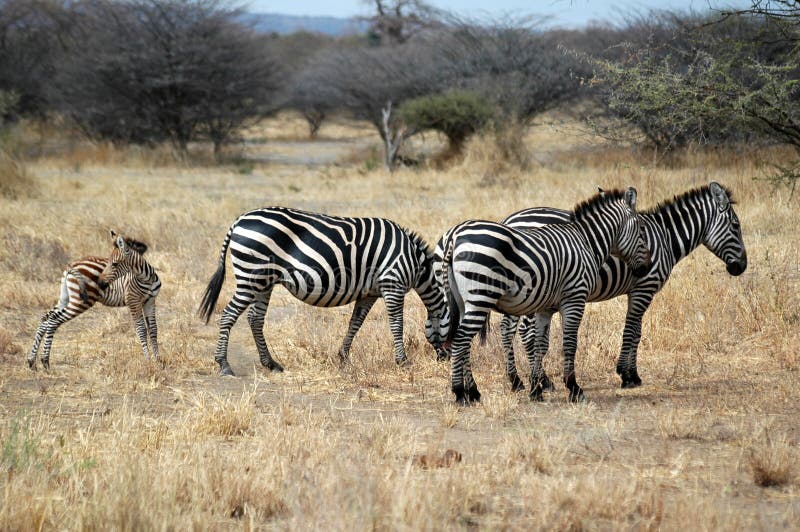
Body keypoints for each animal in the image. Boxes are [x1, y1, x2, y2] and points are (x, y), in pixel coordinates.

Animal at [28, 231, 161, 370]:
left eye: (115, 264)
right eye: (109, 263)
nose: (100, 284)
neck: (146, 278)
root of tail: (71, 266)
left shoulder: (150, 302)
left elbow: (153, 330)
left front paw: (158, 360)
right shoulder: (133, 301)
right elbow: (141, 330)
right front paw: (148, 361)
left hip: (65, 298)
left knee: (45, 319)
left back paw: (32, 361)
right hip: (80, 302)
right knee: (53, 320)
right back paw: (45, 360)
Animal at [198, 206, 449, 376]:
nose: (446, 360)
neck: (416, 263)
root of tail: (240, 219)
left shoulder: (369, 293)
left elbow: (355, 323)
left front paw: (343, 357)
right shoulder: (392, 285)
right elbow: (397, 324)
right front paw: (403, 361)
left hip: (263, 281)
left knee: (255, 318)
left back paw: (271, 363)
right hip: (251, 275)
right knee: (229, 314)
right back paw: (224, 364)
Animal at [440, 187, 651, 404]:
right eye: (643, 229)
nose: (647, 268)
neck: (586, 243)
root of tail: (454, 236)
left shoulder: (545, 308)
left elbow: (539, 344)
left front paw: (536, 389)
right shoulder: (575, 297)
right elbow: (569, 343)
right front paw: (574, 388)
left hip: (464, 302)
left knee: (462, 342)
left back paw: (473, 392)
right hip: (480, 298)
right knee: (460, 340)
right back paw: (460, 393)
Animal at [501, 181, 747, 390]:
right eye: (736, 226)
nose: (741, 267)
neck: (666, 238)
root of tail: (510, 219)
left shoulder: (636, 290)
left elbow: (637, 331)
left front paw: (633, 374)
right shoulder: (645, 288)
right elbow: (631, 331)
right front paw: (627, 375)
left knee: (508, 328)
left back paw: (518, 381)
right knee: (525, 331)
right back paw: (541, 381)